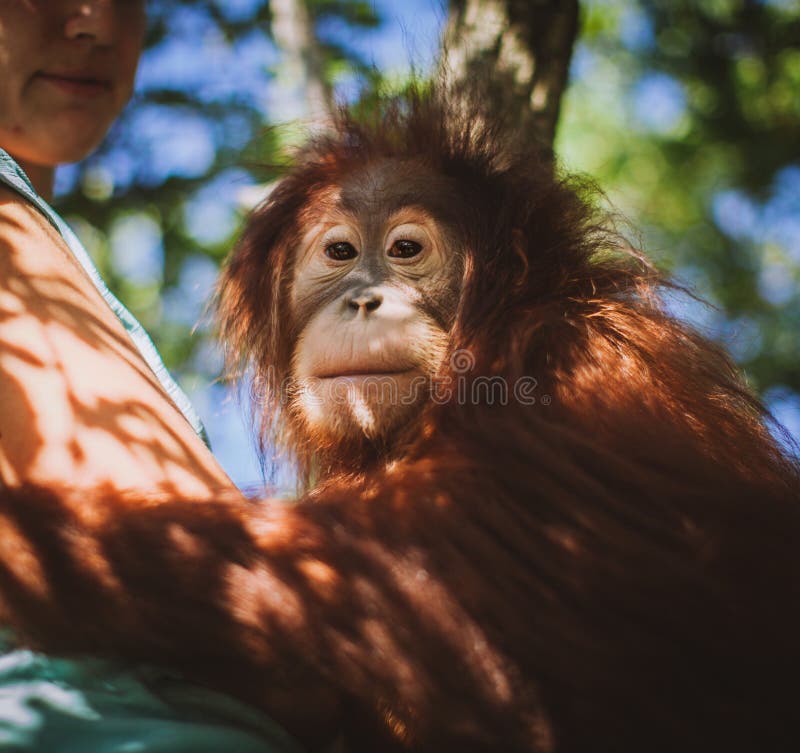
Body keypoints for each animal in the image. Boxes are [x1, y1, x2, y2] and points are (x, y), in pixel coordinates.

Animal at [0, 85, 799, 753]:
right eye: (340, 252)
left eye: (407, 250)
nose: (363, 299)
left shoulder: (581, 380)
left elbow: (412, 584)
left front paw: (37, 541)